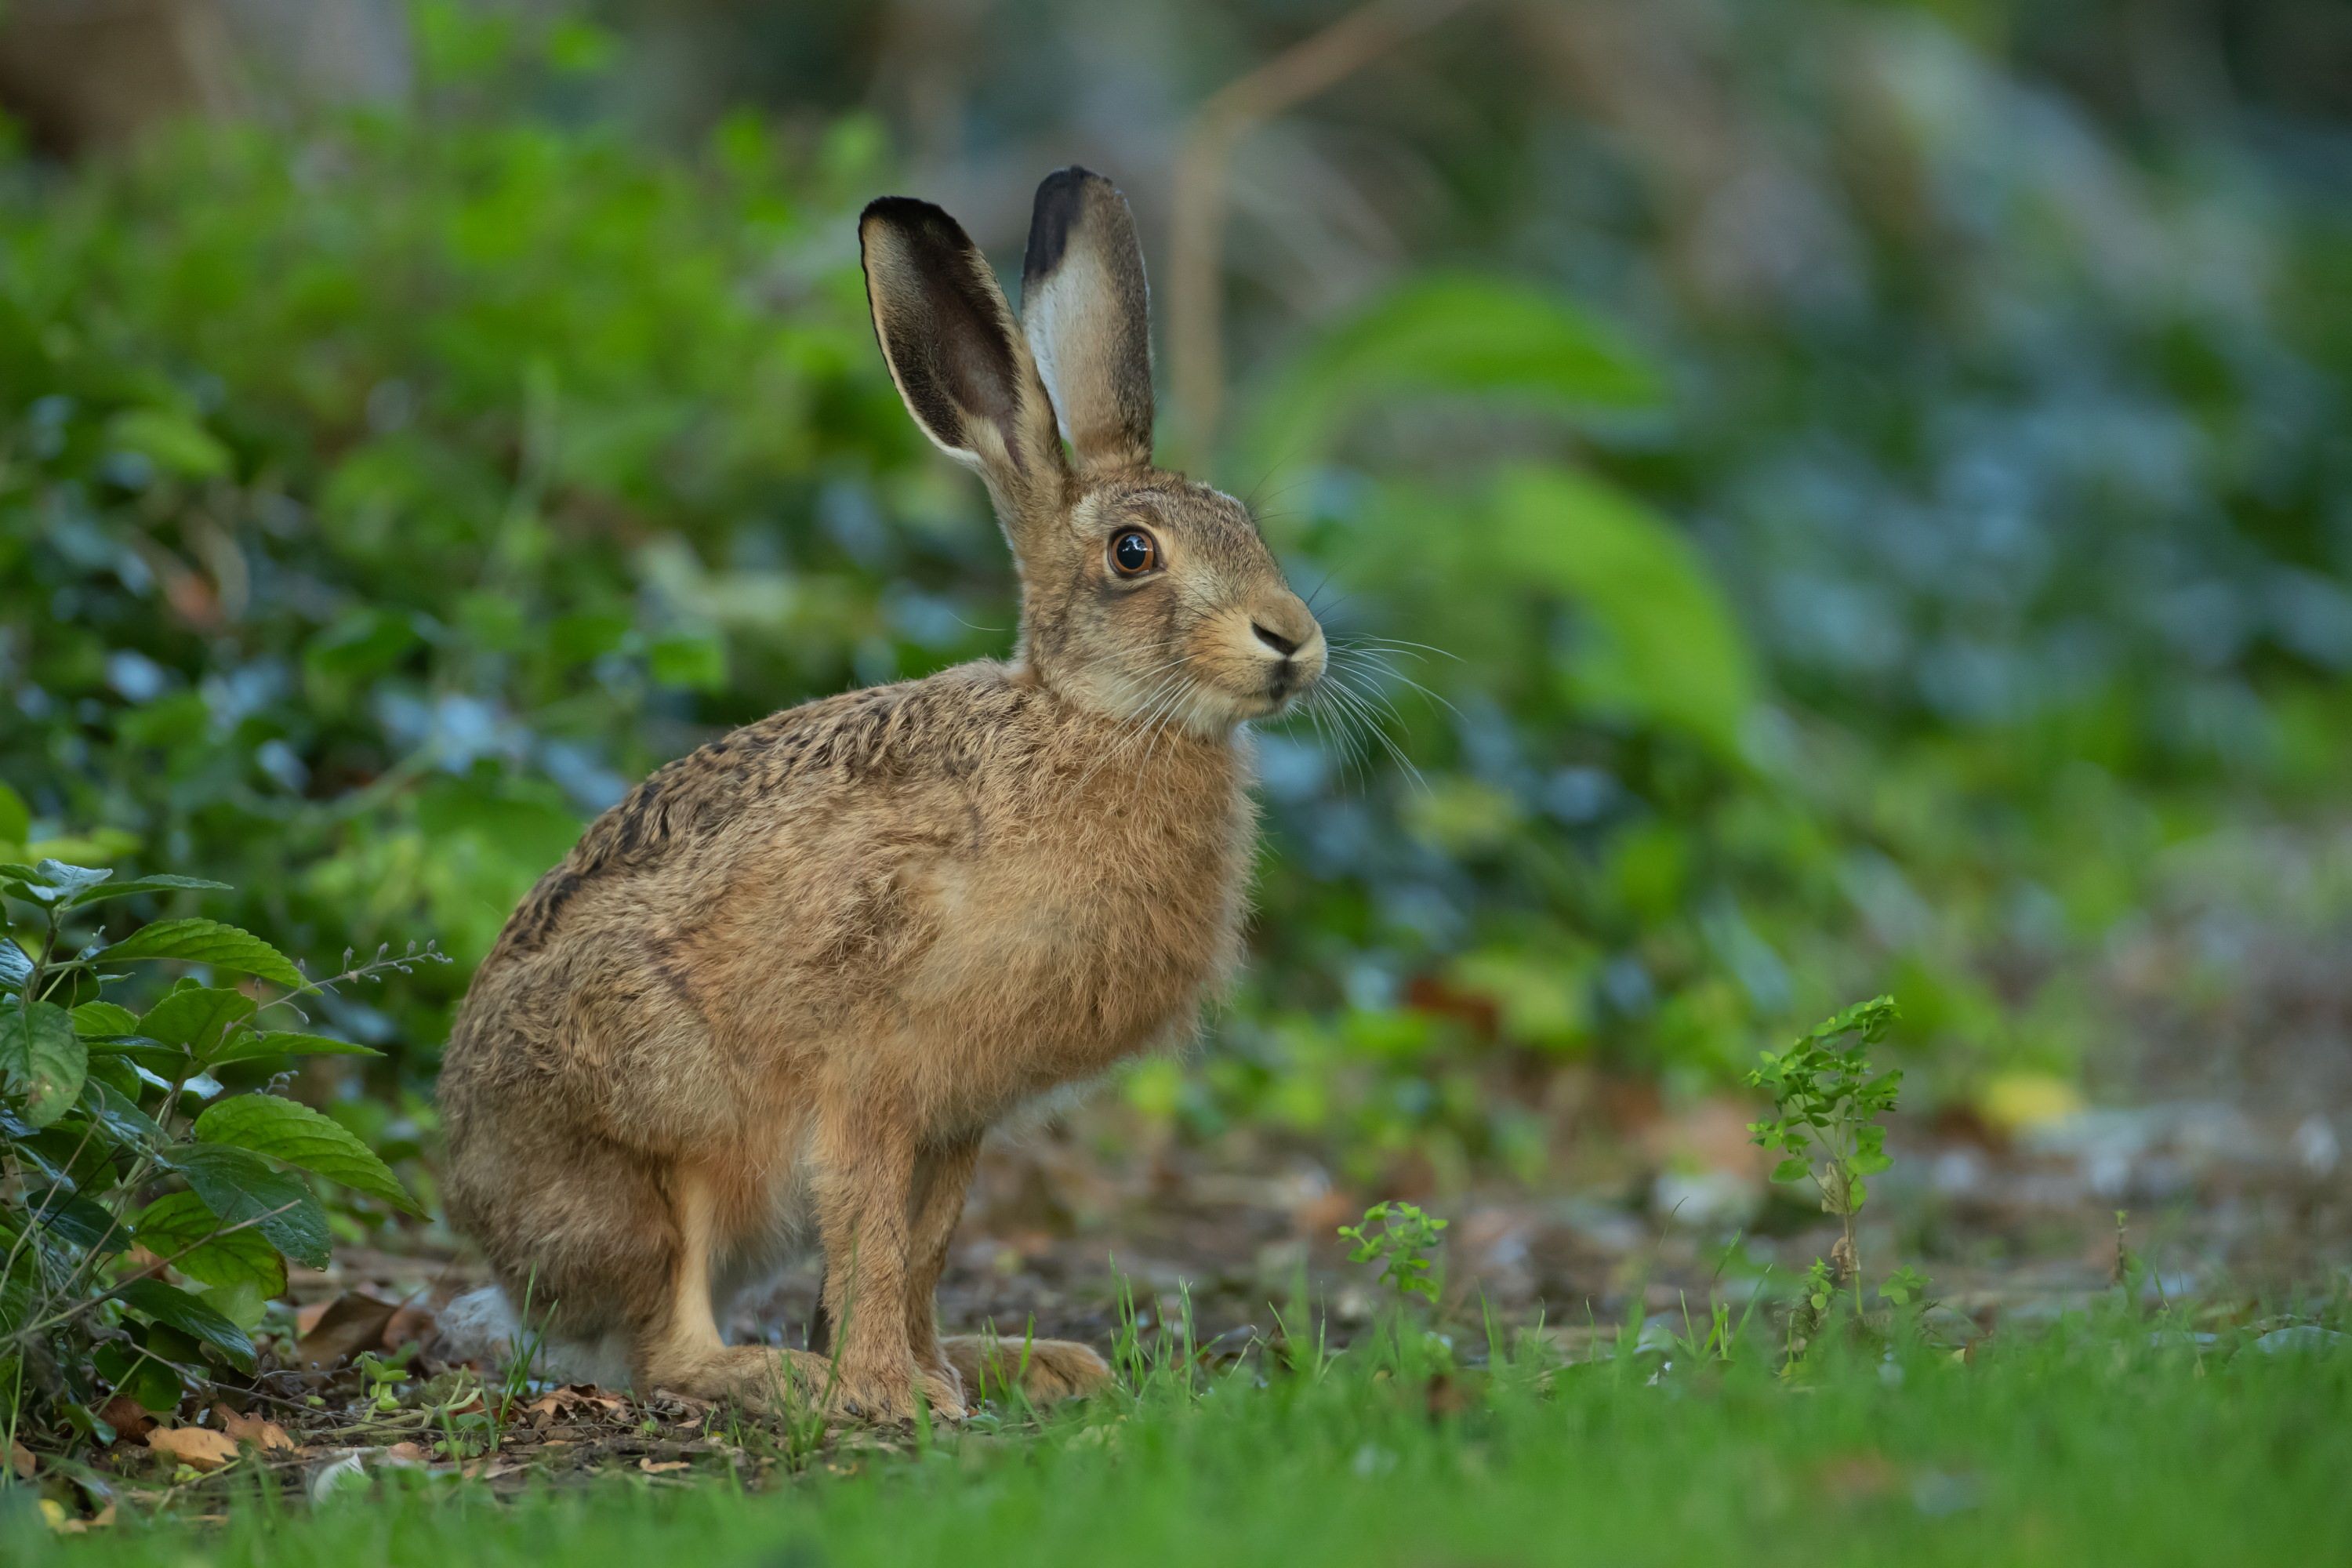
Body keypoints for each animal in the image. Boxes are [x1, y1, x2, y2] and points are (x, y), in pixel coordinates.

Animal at [436, 167, 1327, 1423]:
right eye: (1134, 554)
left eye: (1246, 524)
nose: (1293, 641)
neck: (1089, 719)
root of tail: (500, 1247)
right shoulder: (871, 1078)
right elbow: (869, 1228)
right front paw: (892, 1397)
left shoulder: (960, 1118)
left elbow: (927, 1244)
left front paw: (949, 1373)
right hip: (659, 1122)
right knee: (667, 1344)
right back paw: (788, 1375)